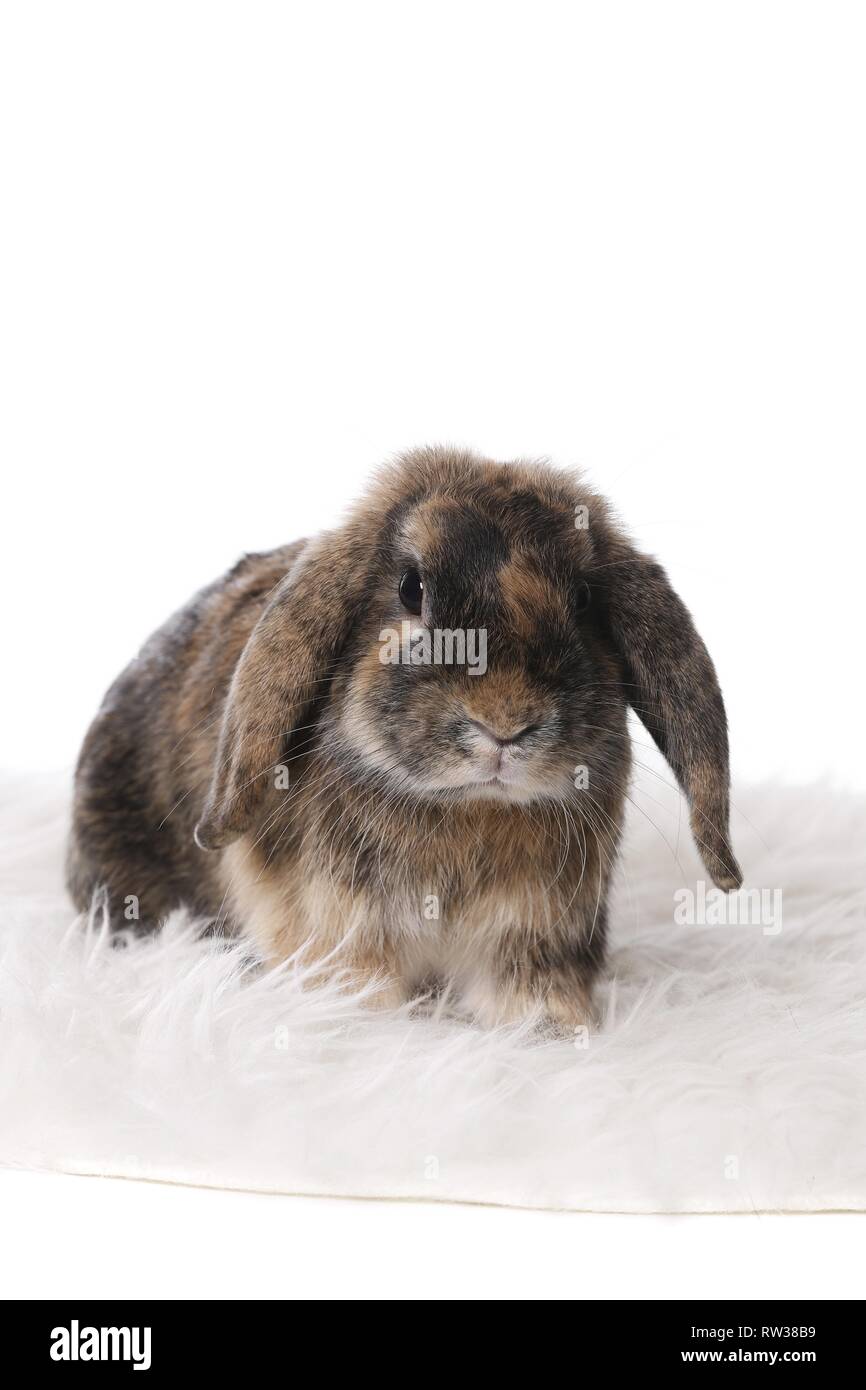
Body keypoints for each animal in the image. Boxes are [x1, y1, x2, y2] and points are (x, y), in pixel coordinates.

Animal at [67, 446, 741, 1029]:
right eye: (411, 588)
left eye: (581, 600)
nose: (505, 723)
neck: (468, 808)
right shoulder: (341, 926)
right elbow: (360, 984)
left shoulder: (539, 932)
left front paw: (552, 1027)